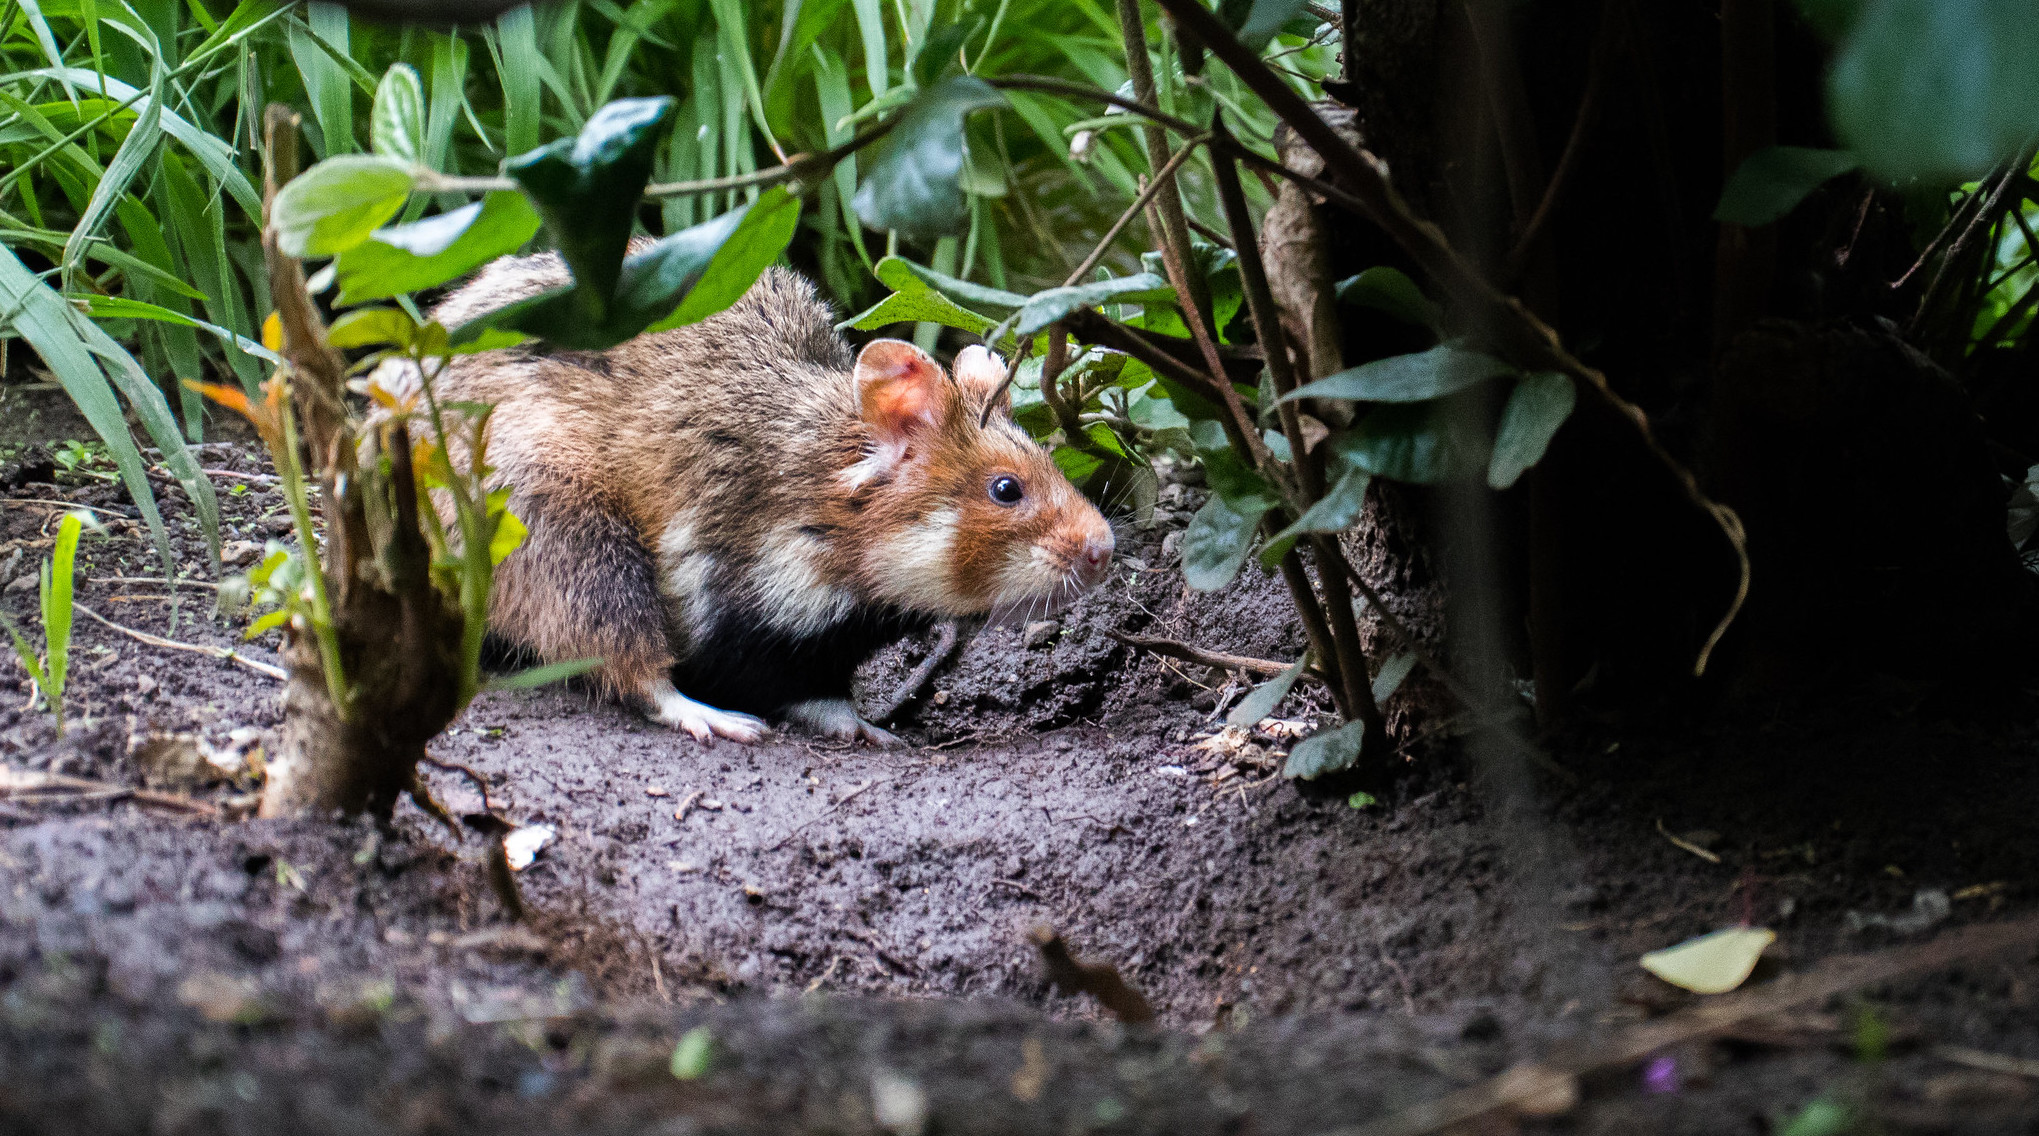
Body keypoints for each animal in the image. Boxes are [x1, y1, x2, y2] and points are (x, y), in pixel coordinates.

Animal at [371, 257, 1115, 745]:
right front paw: (864, 730)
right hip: (569, 535)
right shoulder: (748, 613)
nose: (1106, 549)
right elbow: (786, 691)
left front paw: (873, 727)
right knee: (630, 668)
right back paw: (716, 721)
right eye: (1005, 489)